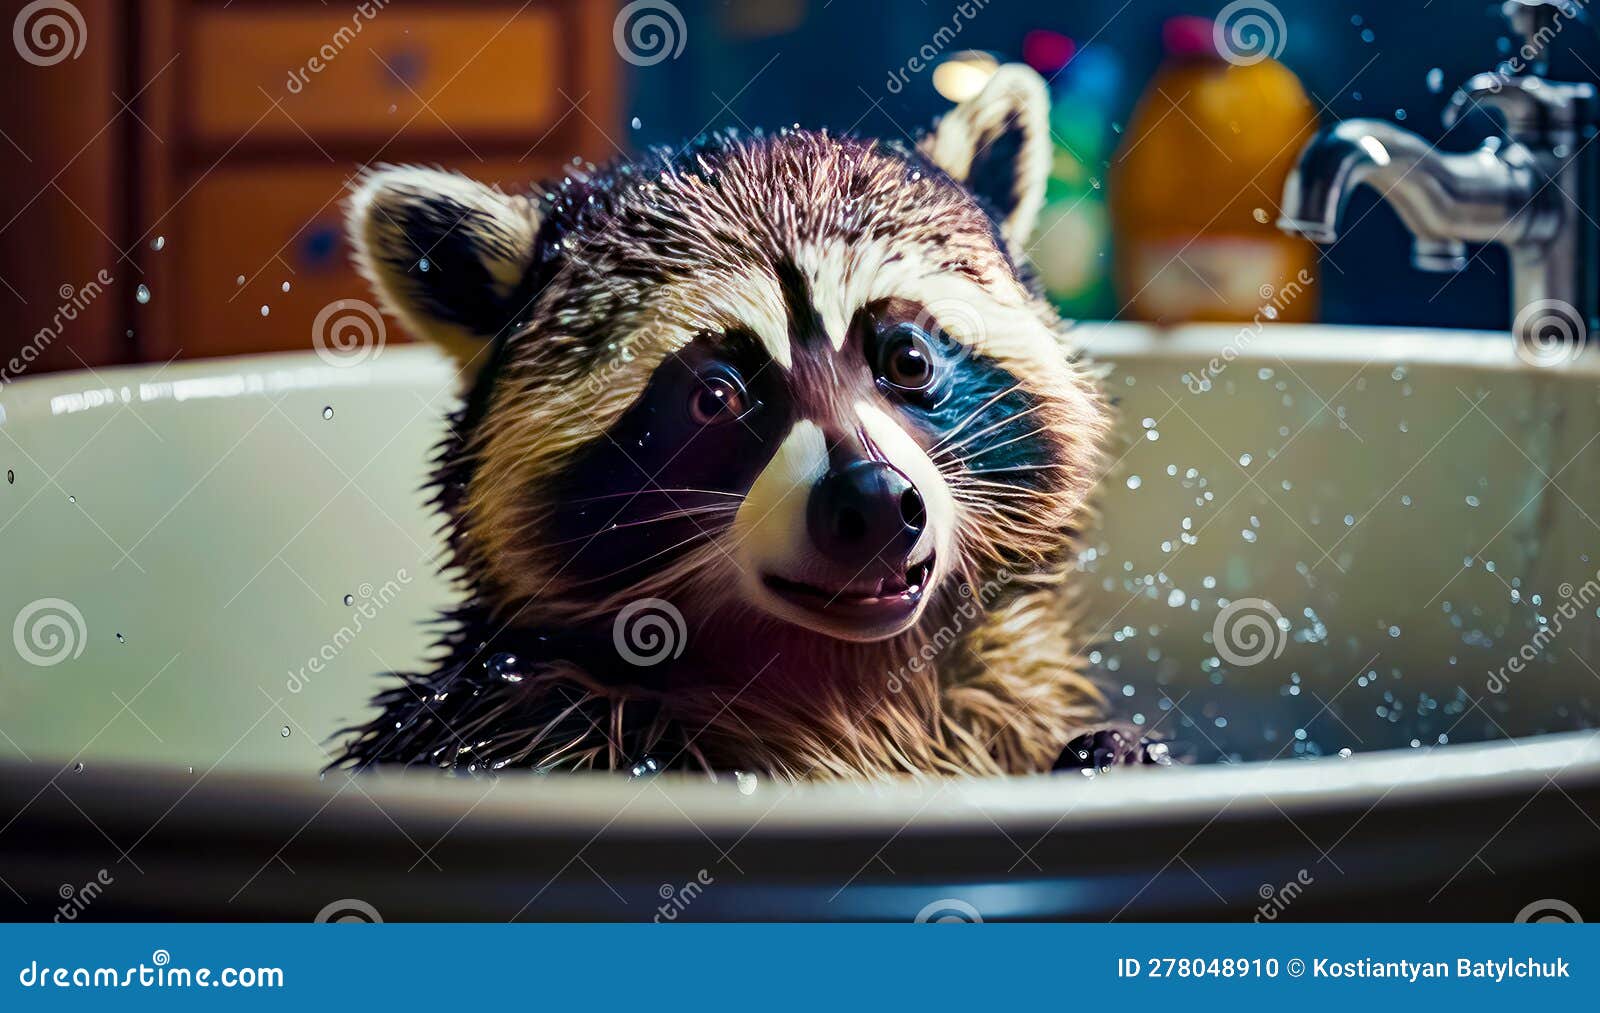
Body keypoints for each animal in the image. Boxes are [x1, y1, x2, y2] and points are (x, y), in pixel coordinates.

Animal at [334, 65, 1136, 779]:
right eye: (714, 398)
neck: (848, 679)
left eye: (908, 358)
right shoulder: (513, 716)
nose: (875, 501)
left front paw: (1107, 753)